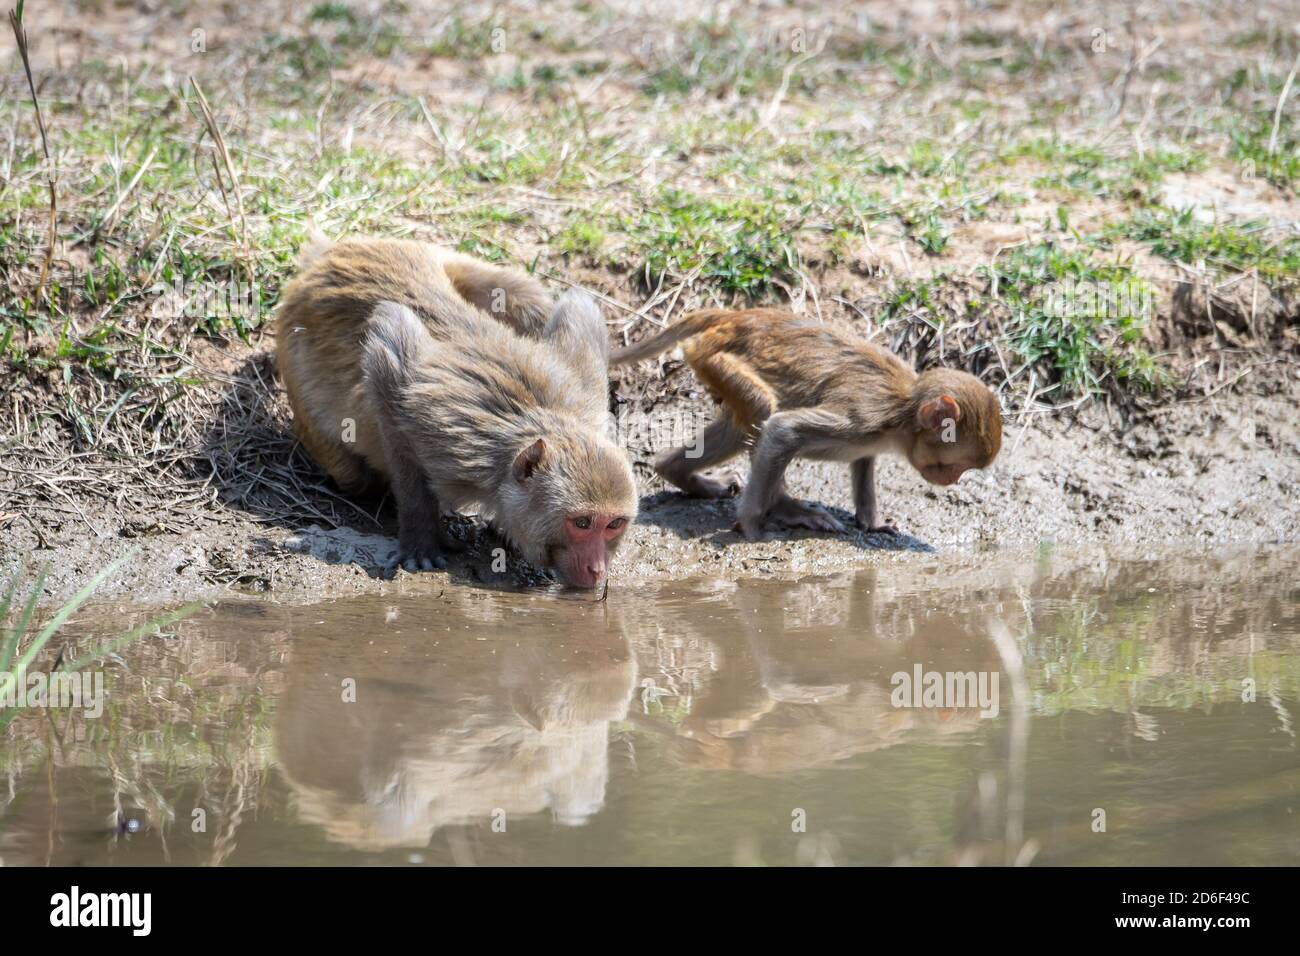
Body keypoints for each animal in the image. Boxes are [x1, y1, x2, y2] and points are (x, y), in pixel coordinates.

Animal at [275, 236, 637, 588]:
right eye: (583, 522)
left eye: (614, 524)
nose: (597, 569)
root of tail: (326, 258)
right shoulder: (448, 438)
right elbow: (390, 345)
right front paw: (420, 540)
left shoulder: (586, 395)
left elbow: (579, 306)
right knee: (353, 475)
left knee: (519, 292)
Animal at [611, 308, 1001, 541]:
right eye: (957, 466)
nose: (952, 481)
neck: (903, 414)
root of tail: (736, 315)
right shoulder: (866, 417)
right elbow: (784, 429)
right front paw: (750, 524)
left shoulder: (870, 436)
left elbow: (863, 461)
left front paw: (872, 521)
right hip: (715, 356)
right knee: (763, 409)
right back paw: (785, 508)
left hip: (709, 359)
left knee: (743, 423)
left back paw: (674, 469)